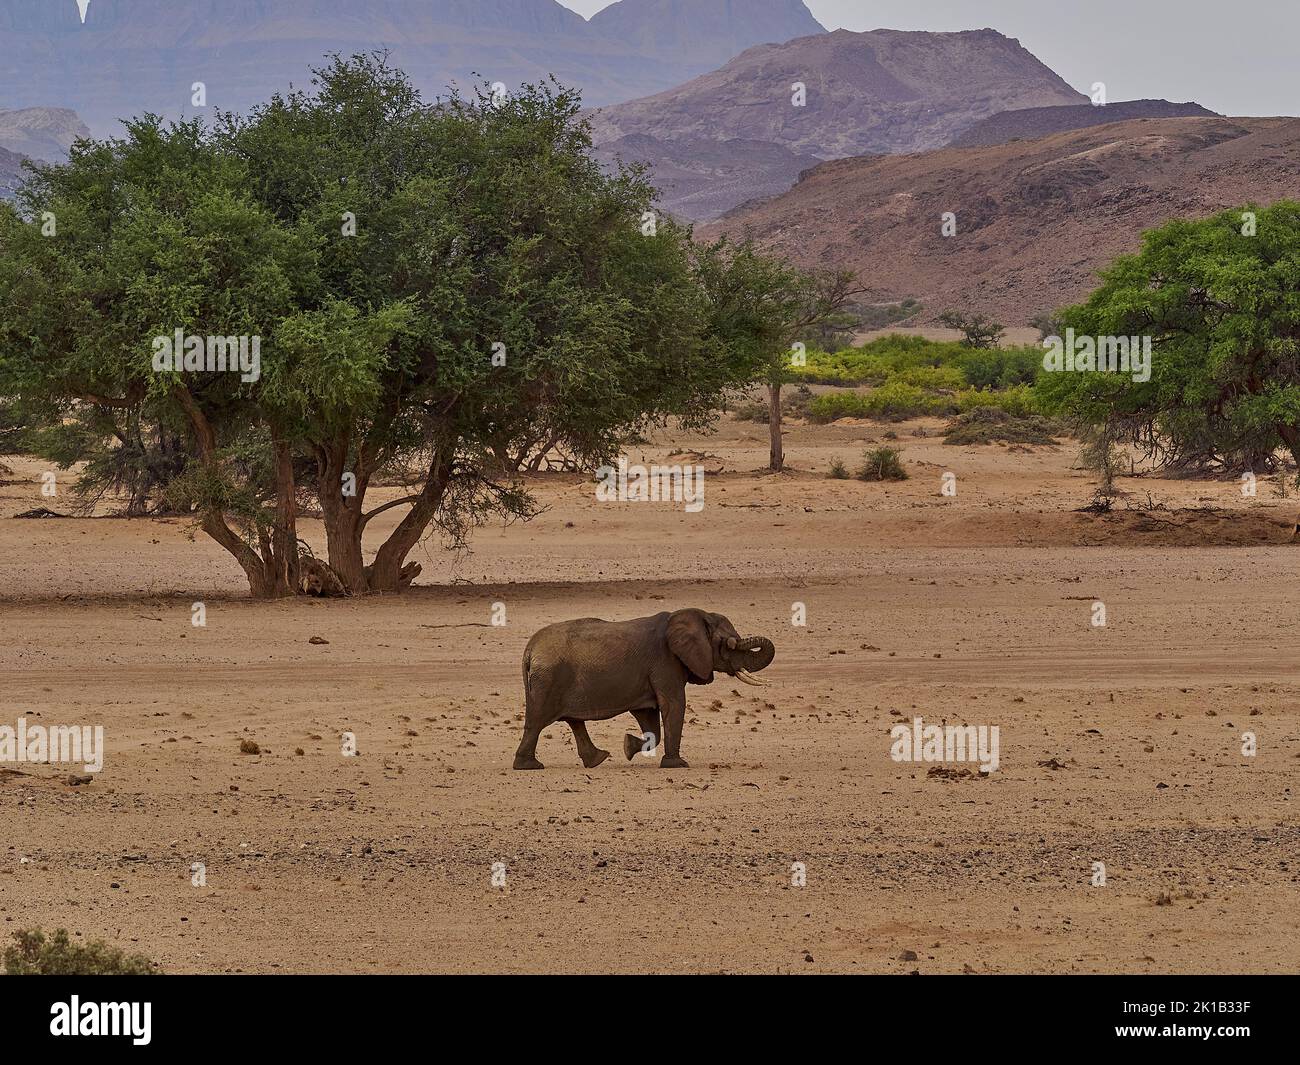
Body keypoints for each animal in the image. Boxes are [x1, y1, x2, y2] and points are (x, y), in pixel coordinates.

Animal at [513, 608, 776, 770]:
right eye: (729, 644)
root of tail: (529, 649)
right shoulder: (665, 663)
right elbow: (674, 704)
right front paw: (678, 765)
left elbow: (649, 717)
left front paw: (627, 747)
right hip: (549, 679)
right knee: (538, 721)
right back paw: (529, 767)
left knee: (573, 720)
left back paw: (597, 760)